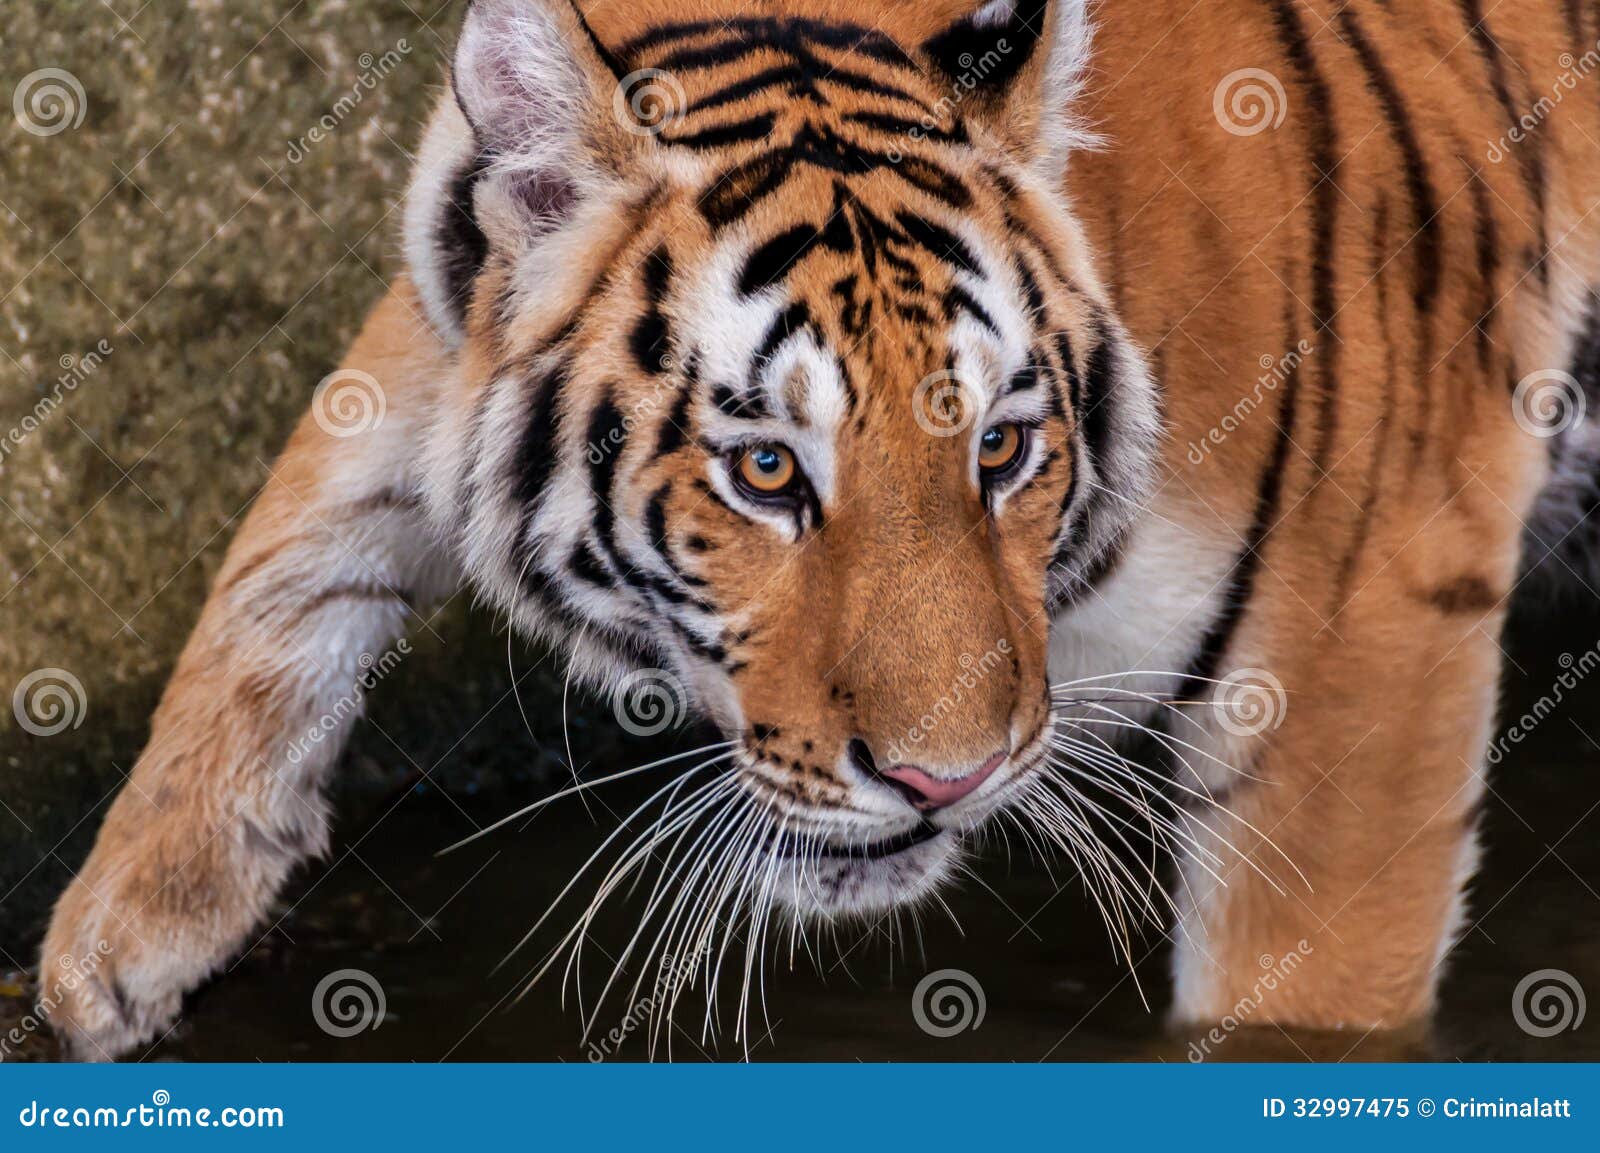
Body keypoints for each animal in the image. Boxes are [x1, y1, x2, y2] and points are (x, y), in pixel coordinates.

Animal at [39, 0, 1600, 1060]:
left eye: (1001, 446)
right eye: (768, 471)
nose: (942, 783)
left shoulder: (1361, 644)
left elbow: (1305, 1006)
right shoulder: (442, 299)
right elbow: (300, 522)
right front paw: (122, 926)